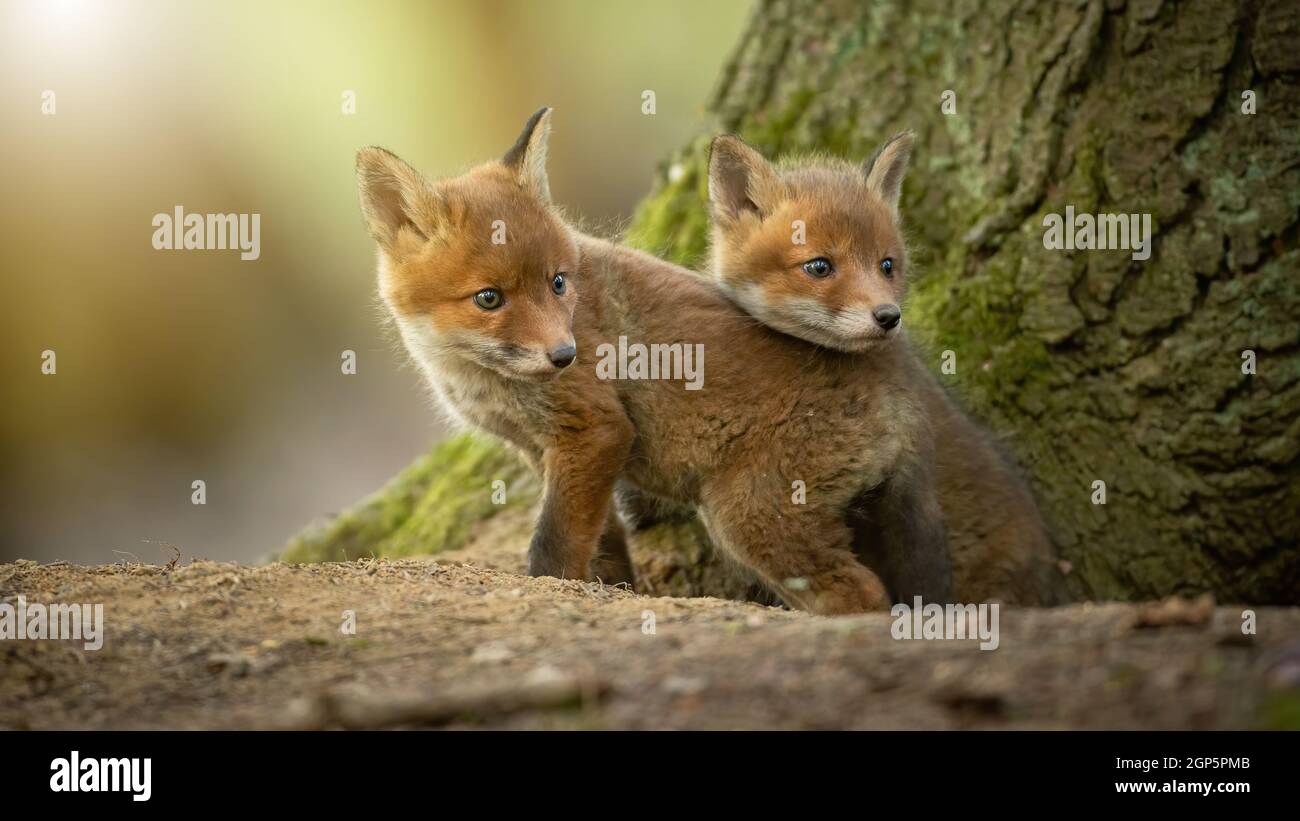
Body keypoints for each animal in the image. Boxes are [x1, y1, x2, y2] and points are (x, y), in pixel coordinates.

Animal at [355, 108, 953, 614]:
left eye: (558, 282)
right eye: (488, 298)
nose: (566, 355)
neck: (478, 375)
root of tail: (887, 376)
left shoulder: (596, 429)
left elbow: (554, 545)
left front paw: (557, 586)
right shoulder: (543, 449)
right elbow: (601, 540)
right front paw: (616, 588)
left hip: (749, 514)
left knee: (863, 591)